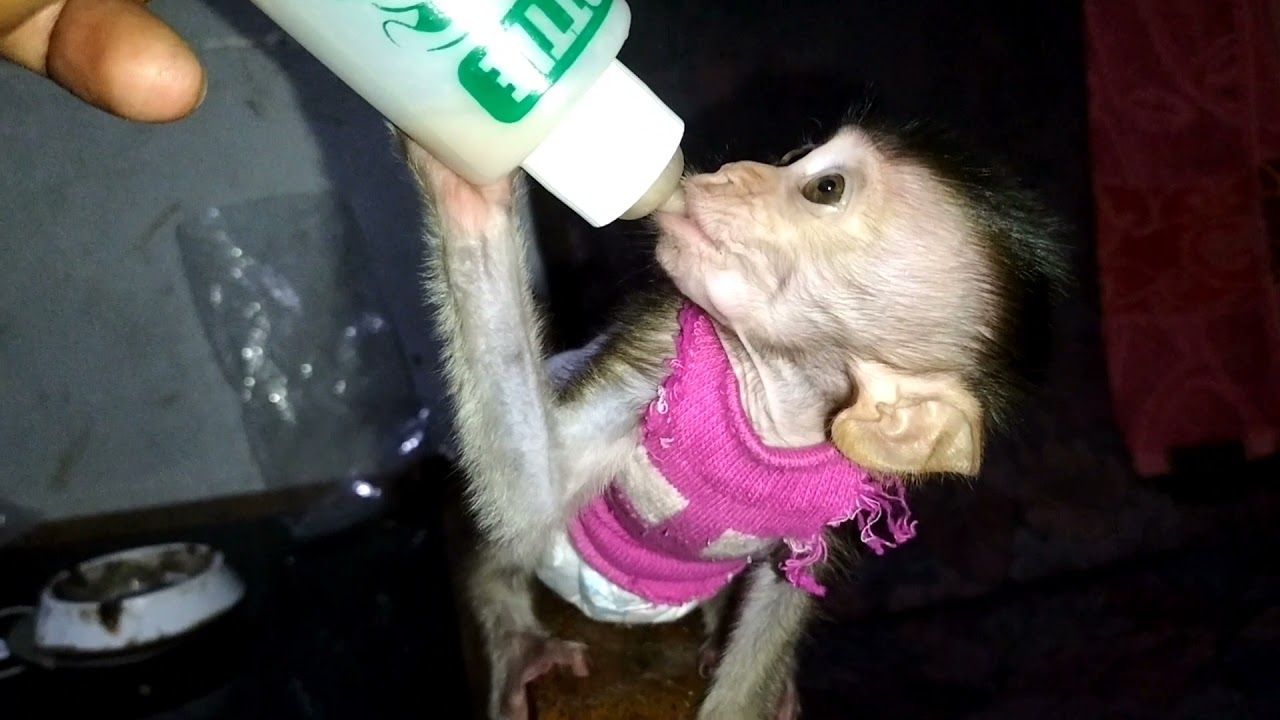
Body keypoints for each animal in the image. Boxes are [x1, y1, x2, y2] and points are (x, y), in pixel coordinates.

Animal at [395, 115, 1071, 720]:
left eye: (826, 187)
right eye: (795, 154)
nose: (729, 172)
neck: (771, 408)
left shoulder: (855, 483)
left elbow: (786, 590)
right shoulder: (662, 339)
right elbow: (533, 496)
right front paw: (464, 177)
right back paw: (514, 635)